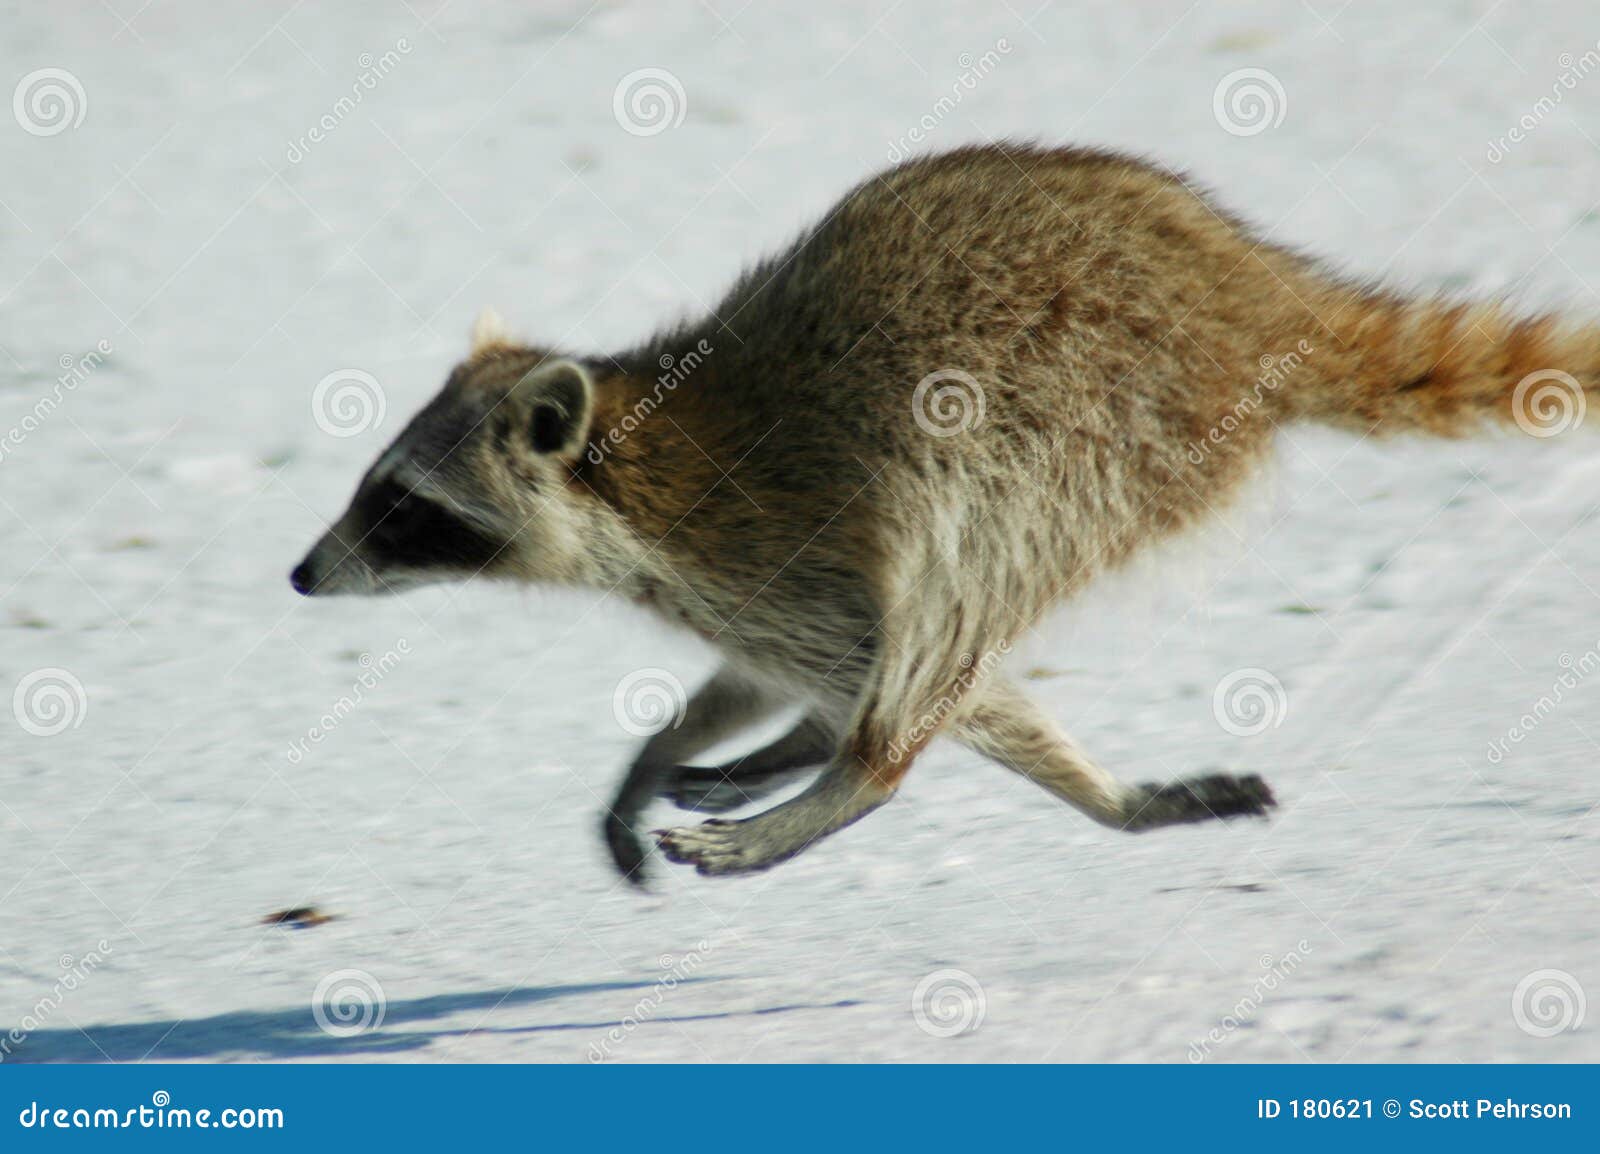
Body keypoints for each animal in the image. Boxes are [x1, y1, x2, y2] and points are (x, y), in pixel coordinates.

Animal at [292, 143, 1598, 880]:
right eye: (373, 483)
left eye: (402, 504)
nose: (303, 575)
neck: (637, 465)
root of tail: (1259, 296)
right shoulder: (767, 592)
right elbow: (778, 669)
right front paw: (675, 744)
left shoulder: (784, 530)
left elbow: (931, 662)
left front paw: (836, 757)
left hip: (1083, 432)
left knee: (957, 587)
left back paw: (852, 769)